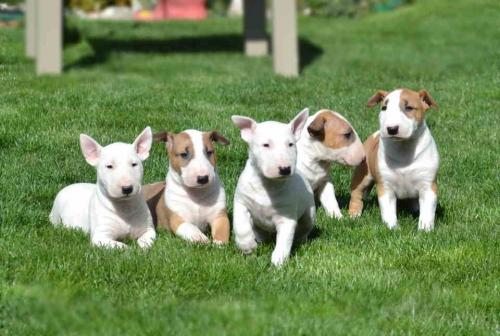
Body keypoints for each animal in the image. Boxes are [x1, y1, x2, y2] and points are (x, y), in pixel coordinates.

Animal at [231, 109, 316, 266]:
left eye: (291, 144)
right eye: (266, 145)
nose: (285, 169)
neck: (267, 184)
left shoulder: (287, 216)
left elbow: (285, 239)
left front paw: (278, 260)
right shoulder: (241, 202)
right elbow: (241, 226)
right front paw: (247, 246)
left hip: (309, 212)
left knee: (304, 229)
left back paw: (300, 241)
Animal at [350, 88, 440, 231]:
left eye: (409, 107)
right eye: (384, 108)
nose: (391, 129)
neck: (403, 148)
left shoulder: (428, 186)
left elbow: (427, 211)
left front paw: (425, 229)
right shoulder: (386, 188)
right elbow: (388, 211)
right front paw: (392, 228)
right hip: (362, 174)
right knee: (356, 193)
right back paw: (354, 214)